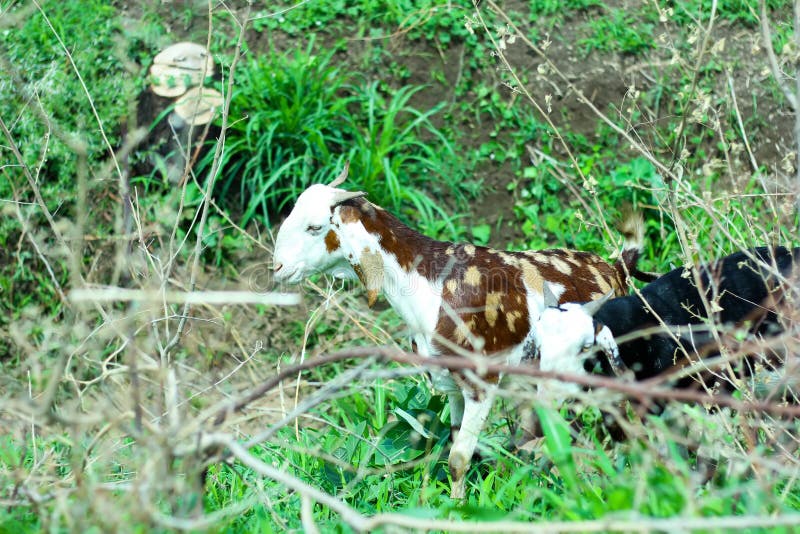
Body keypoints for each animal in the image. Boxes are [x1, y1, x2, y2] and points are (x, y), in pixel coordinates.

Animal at [272, 163, 651, 498]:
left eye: (314, 227)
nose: (277, 267)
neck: (430, 285)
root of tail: (616, 269)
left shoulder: (481, 382)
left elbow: (459, 457)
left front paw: (458, 509)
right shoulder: (450, 383)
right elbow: (453, 448)